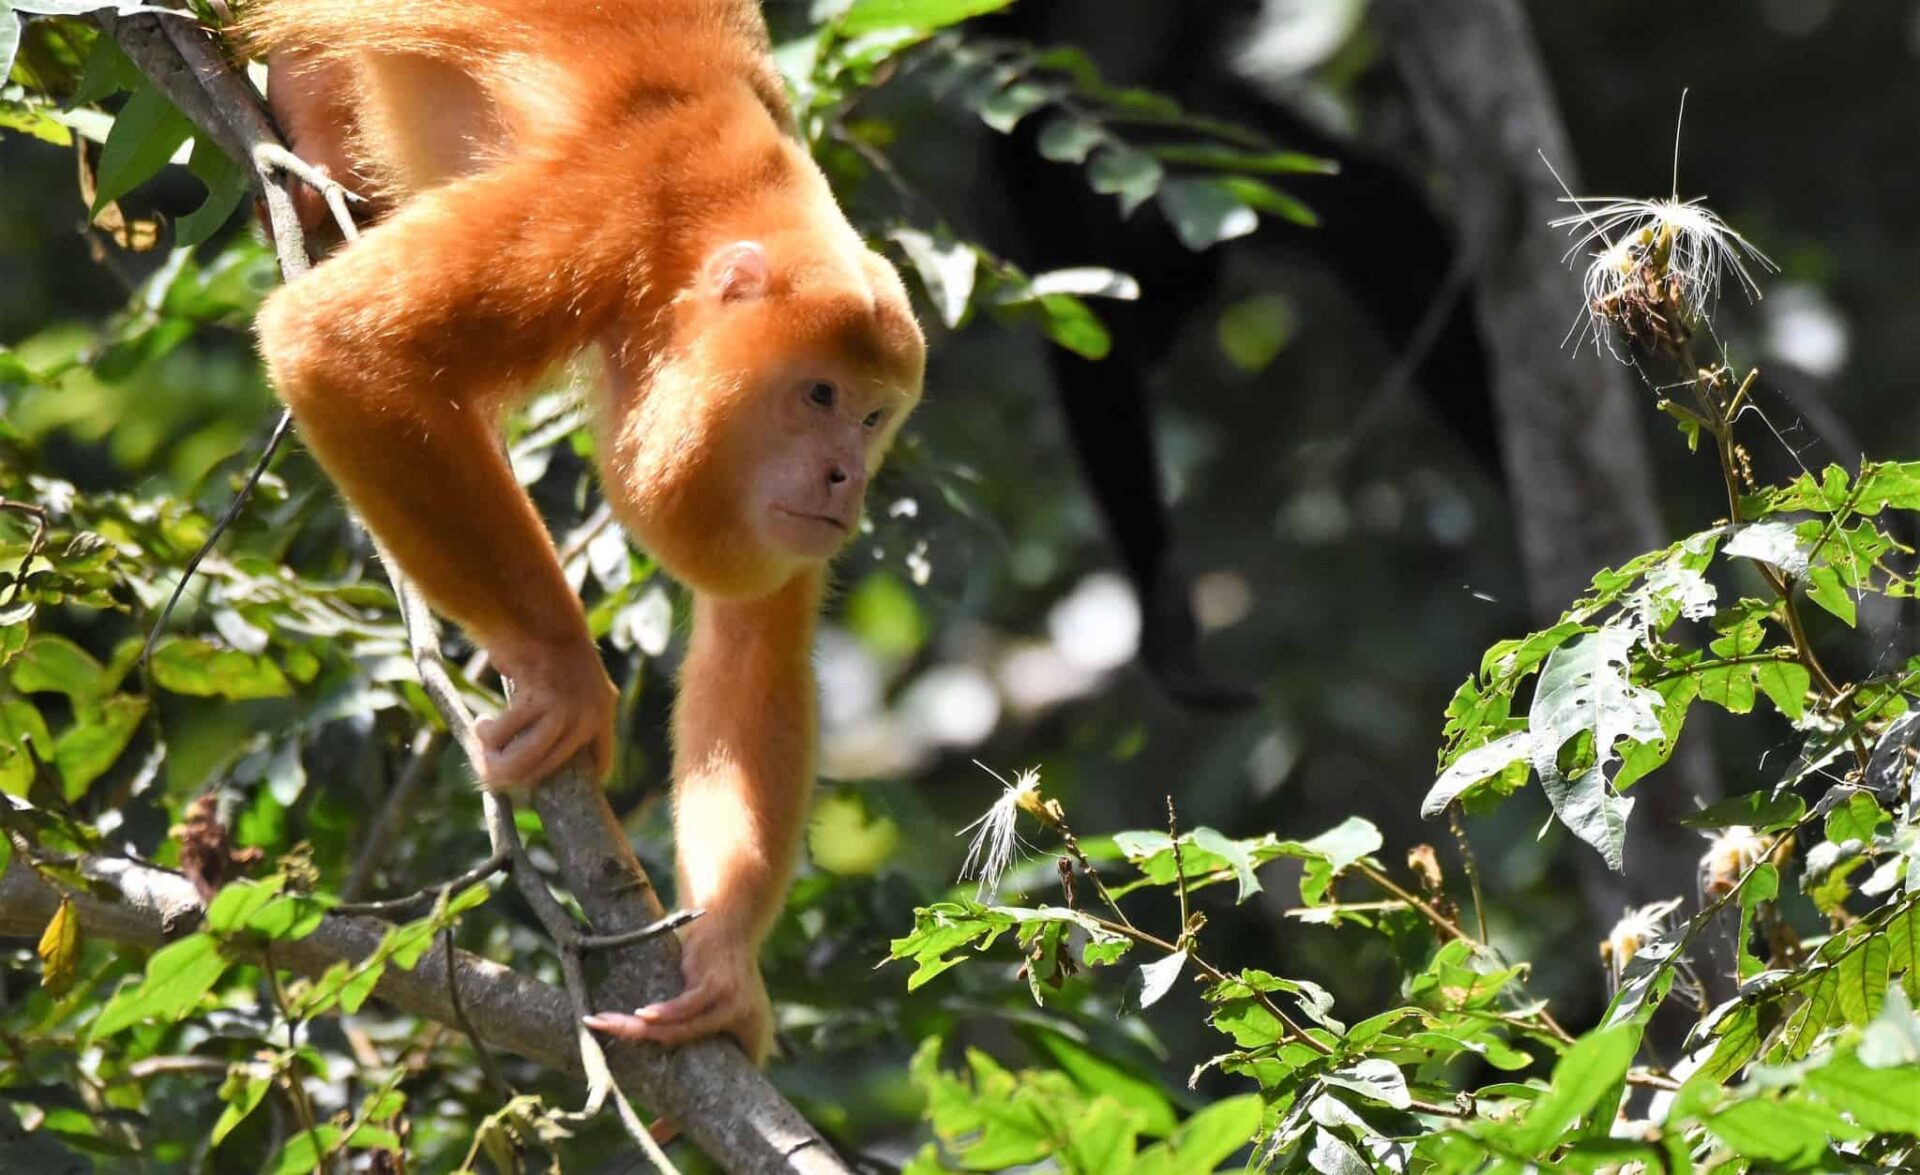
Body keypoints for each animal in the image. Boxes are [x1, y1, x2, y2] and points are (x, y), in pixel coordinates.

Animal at [243, 0, 927, 1060]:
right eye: (818, 394)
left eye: (872, 415)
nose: (846, 478)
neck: (706, 228)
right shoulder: (602, 218)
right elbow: (342, 345)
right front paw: (562, 668)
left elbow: (752, 636)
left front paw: (725, 963)